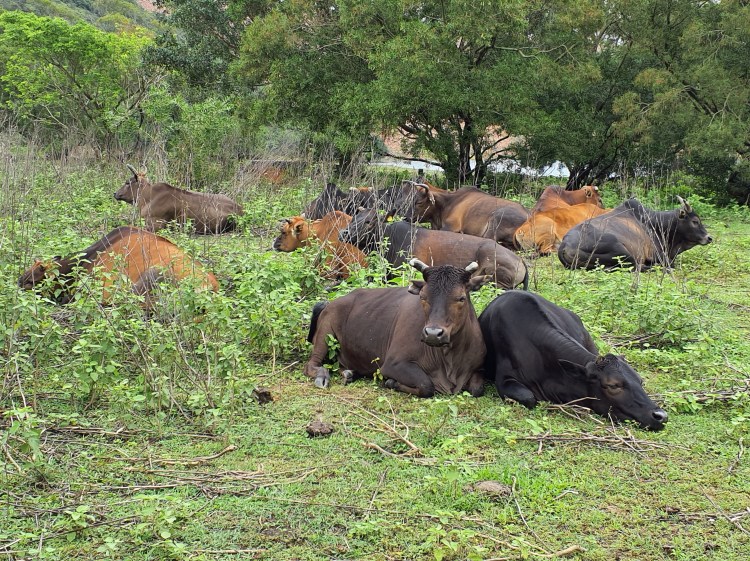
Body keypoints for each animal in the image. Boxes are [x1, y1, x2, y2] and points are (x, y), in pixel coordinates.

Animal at [305, 260, 490, 396]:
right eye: (422, 297)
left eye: (461, 298)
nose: (432, 334)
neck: (449, 359)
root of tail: (334, 301)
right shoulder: (393, 364)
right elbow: (426, 385)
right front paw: (391, 382)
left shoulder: (478, 368)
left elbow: (477, 389)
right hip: (325, 333)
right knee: (311, 364)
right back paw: (322, 376)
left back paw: (350, 373)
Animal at [558, 197, 712, 270]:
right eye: (695, 221)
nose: (709, 238)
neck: (658, 225)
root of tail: (564, 245)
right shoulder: (658, 255)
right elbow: (670, 264)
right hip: (621, 251)